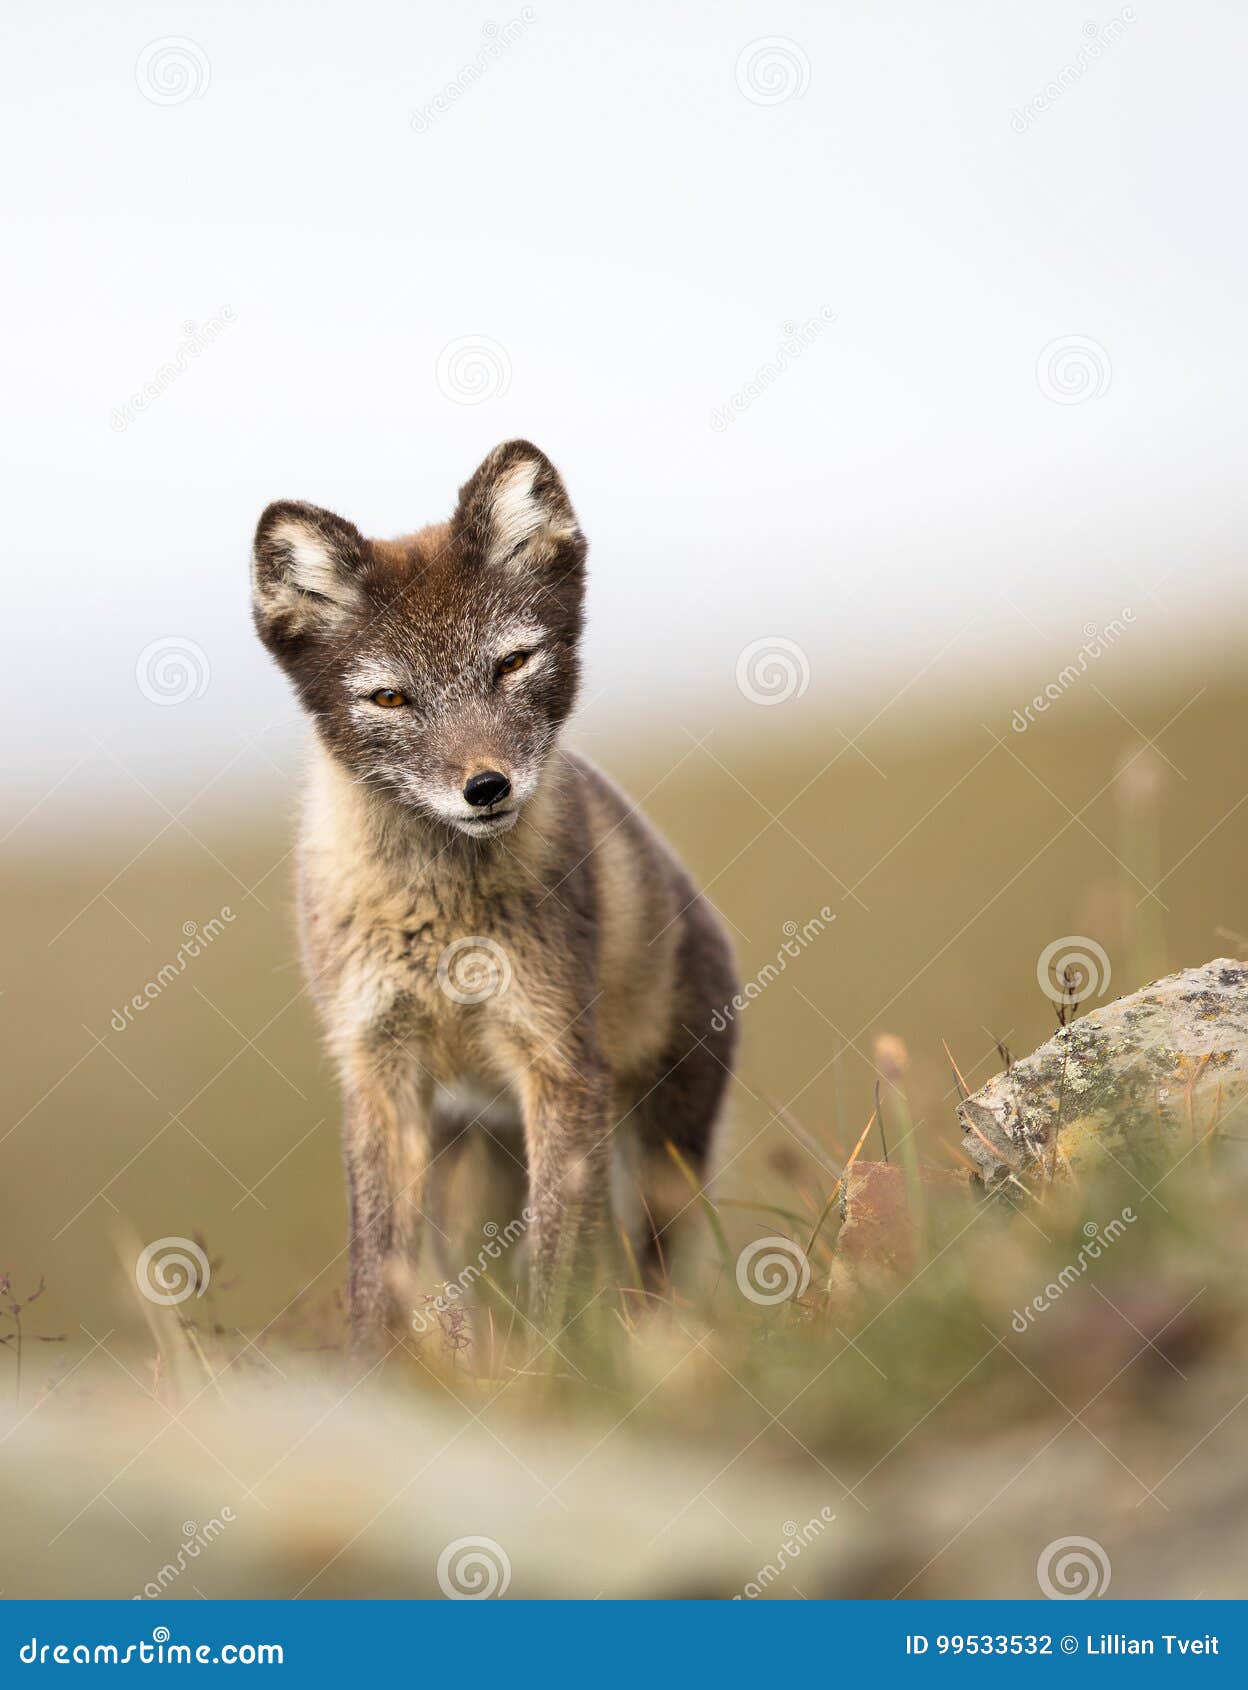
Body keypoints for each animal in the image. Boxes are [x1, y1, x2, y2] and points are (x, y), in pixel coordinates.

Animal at [250, 440, 738, 1351]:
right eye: (390, 697)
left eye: (511, 662)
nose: (486, 787)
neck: (438, 922)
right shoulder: (376, 1071)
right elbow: (376, 1267)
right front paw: (374, 1372)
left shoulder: (560, 1065)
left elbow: (556, 1267)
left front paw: (552, 1372)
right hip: (469, 1160)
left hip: (654, 1149)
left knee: (646, 1274)